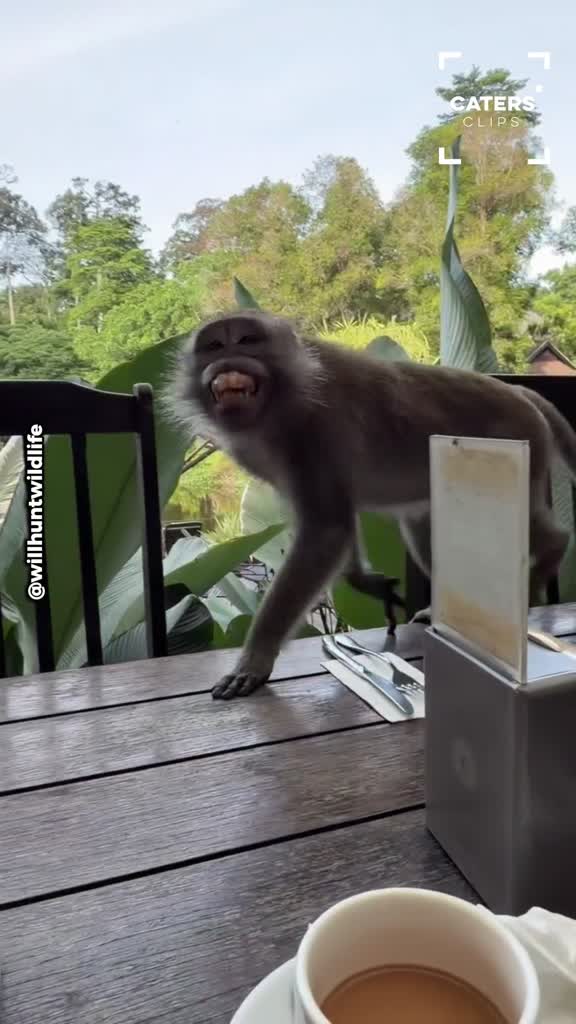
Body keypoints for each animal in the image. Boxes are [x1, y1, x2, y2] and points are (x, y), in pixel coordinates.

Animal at [169, 309, 576, 700]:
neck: (279, 403)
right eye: (214, 345)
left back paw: (551, 553)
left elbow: (326, 530)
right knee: (424, 526)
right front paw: (366, 582)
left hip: (517, 446)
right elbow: (337, 523)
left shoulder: (315, 428)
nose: (227, 355)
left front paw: (254, 660)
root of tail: (520, 391)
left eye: (246, 340)